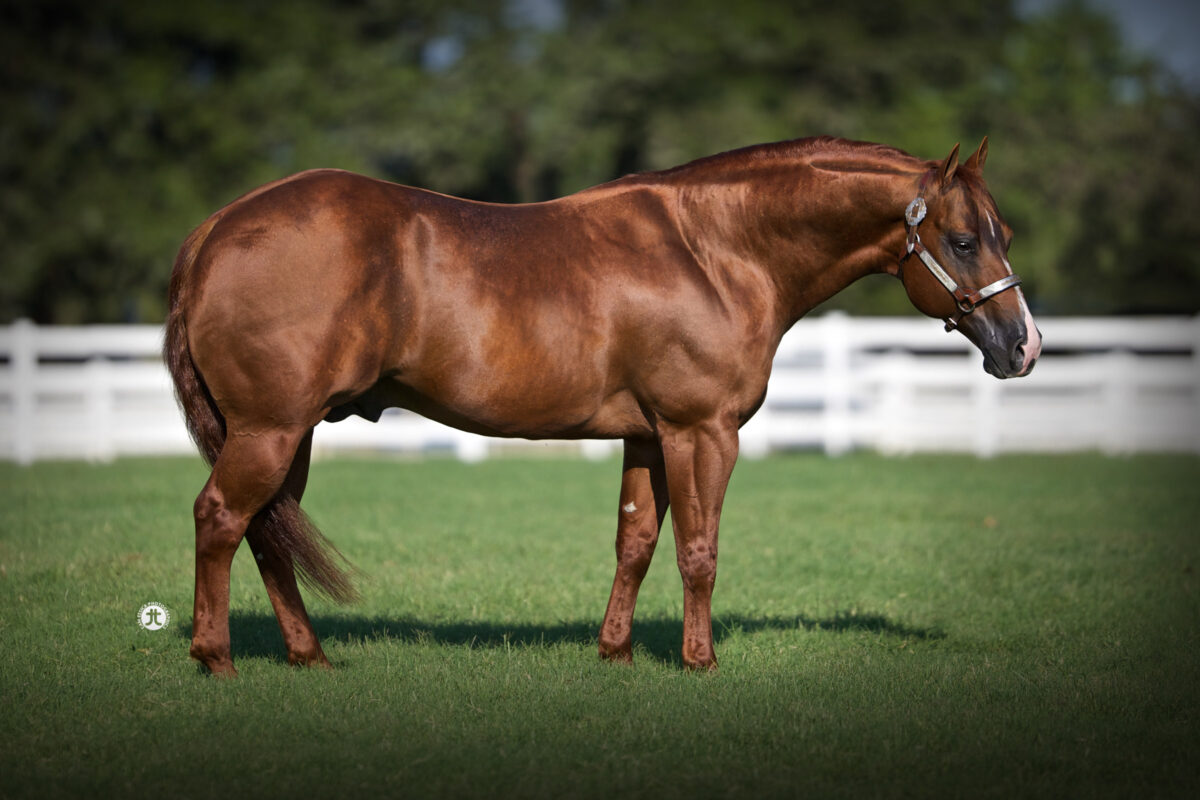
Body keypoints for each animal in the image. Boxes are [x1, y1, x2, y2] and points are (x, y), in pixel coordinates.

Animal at [165, 136, 1041, 676]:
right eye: (965, 241)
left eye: (1002, 232)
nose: (1023, 346)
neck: (715, 250)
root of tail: (218, 228)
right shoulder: (701, 432)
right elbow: (698, 550)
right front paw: (700, 661)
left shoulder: (648, 438)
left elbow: (636, 543)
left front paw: (614, 652)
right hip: (270, 431)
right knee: (221, 518)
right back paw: (216, 658)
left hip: (288, 435)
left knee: (268, 535)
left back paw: (307, 656)